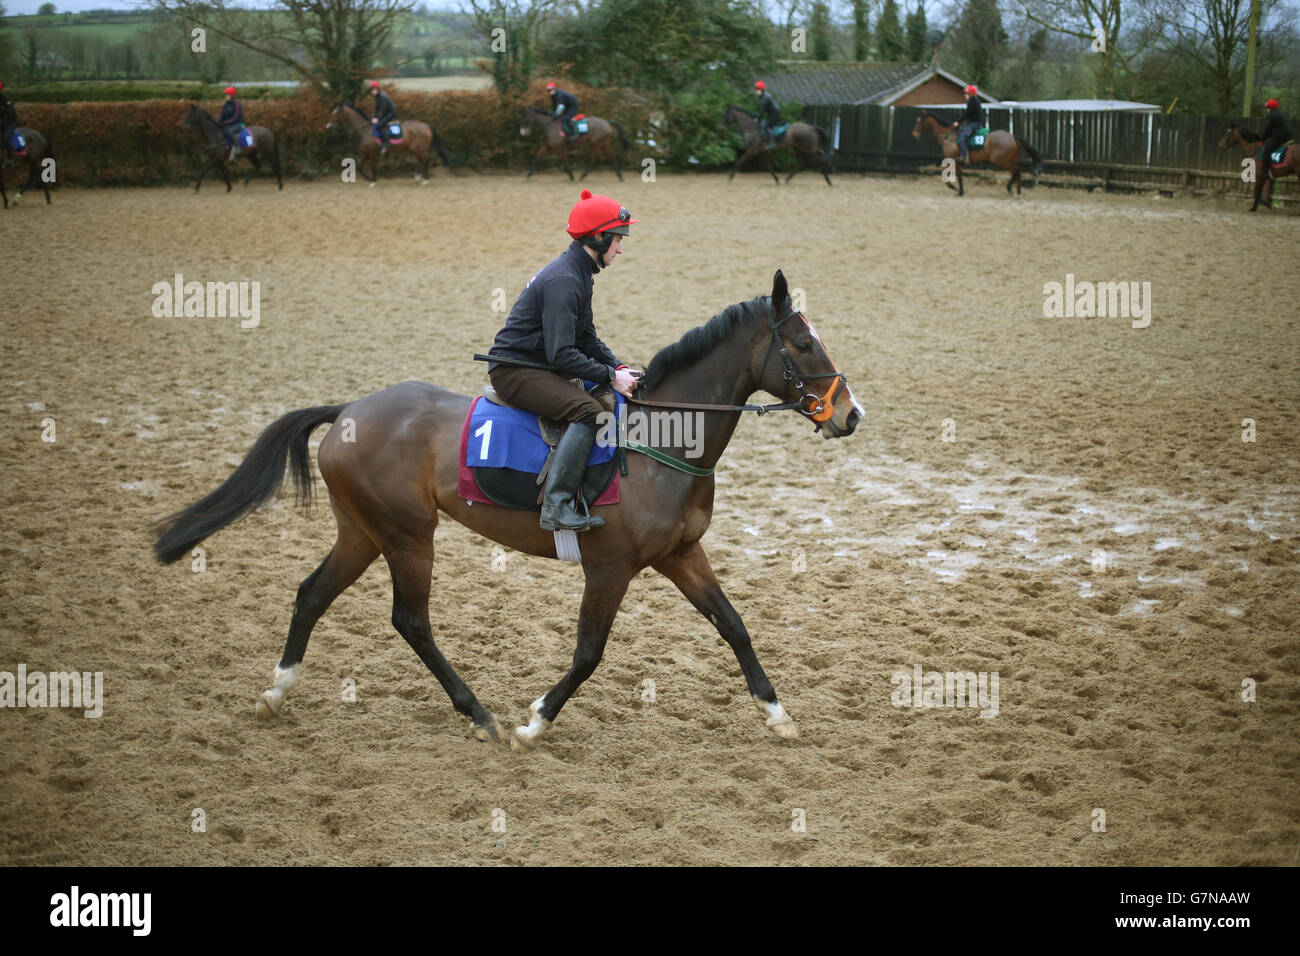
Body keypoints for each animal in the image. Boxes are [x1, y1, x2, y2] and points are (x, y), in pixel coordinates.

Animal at [151, 270, 864, 753]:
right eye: (803, 344)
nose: (851, 415)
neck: (663, 441)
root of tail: (350, 410)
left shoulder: (680, 555)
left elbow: (734, 626)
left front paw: (777, 713)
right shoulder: (610, 570)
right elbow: (589, 652)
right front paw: (534, 722)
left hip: (363, 531)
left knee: (311, 594)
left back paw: (277, 692)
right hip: (406, 535)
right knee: (410, 619)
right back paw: (479, 714)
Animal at [911, 111, 1043, 196]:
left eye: (919, 121)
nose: (914, 133)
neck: (949, 136)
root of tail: (1012, 136)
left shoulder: (951, 159)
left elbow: (945, 174)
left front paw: (953, 187)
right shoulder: (959, 162)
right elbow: (960, 176)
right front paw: (961, 191)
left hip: (1000, 161)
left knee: (1015, 171)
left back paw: (1010, 188)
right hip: (1010, 160)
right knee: (1018, 172)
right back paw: (1018, 191)